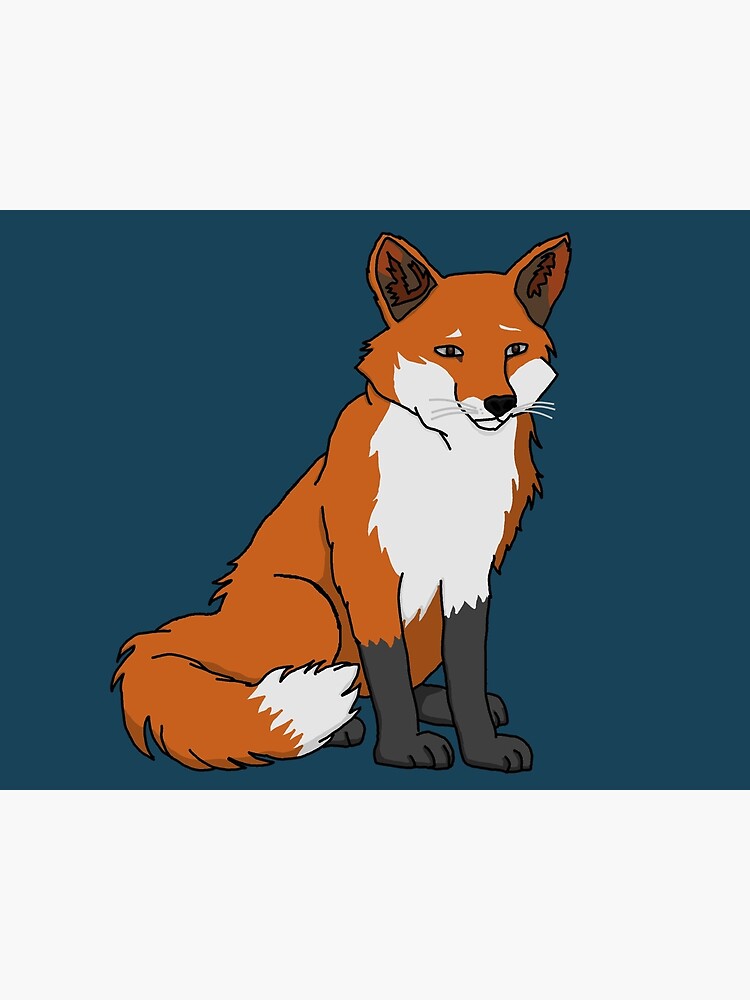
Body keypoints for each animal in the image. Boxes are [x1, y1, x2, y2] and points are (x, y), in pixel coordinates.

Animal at [112, 231, 571, 772]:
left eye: (514, 350)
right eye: (449, 351)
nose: (499, 403)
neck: (449, 472)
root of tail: (217, 628)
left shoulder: (469, 577)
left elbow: (467, 677)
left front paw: (481, 748)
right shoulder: (368, 572)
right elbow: (389, 673)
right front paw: (400, 751)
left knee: (398, 682)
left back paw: (430, 704)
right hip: (312, 606)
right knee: (290, 685)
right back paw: (340, 726)